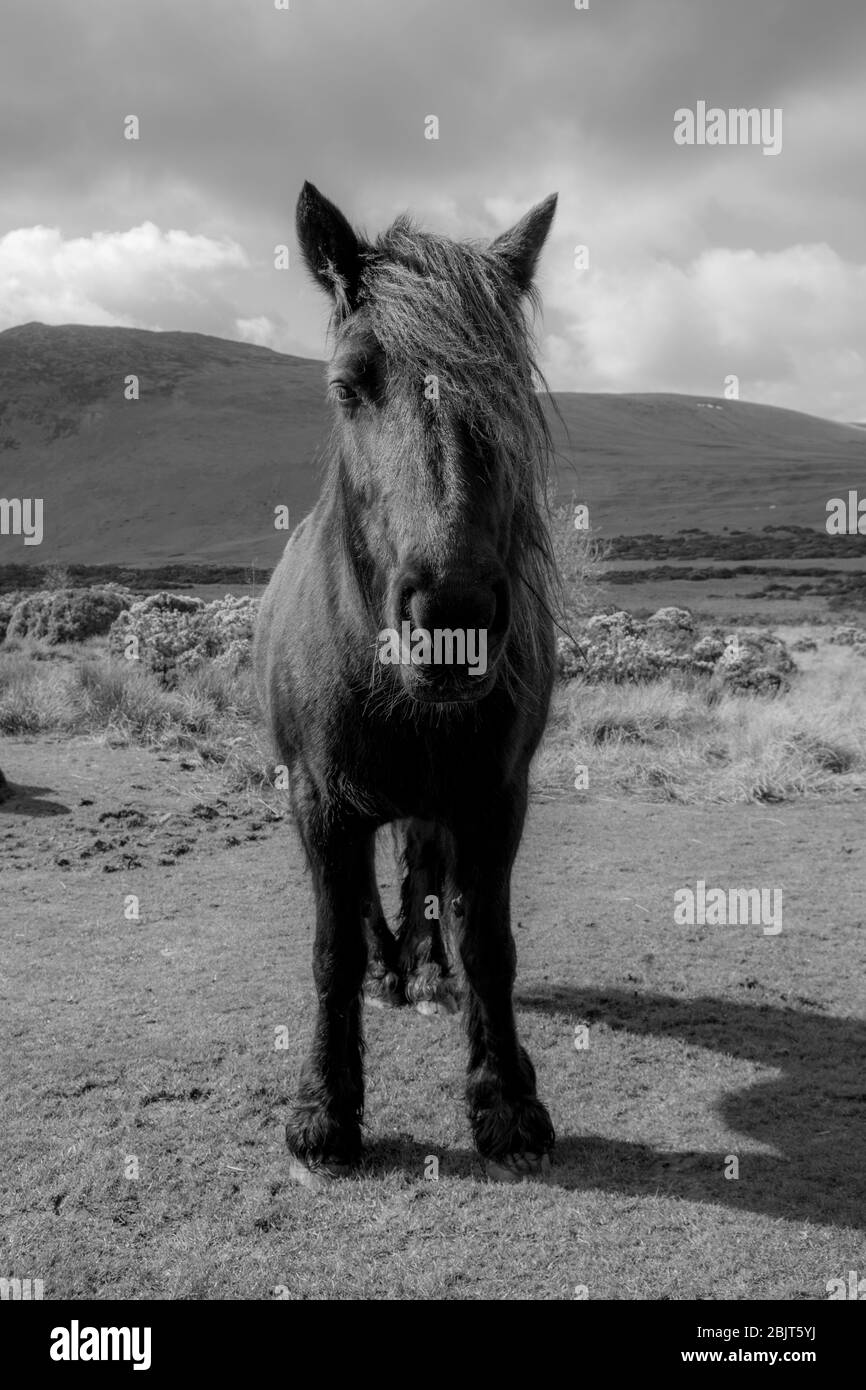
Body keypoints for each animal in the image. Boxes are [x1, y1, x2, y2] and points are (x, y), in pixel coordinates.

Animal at [254, 181, 560, 1186]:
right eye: (348, 385)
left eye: (505, 389)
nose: (450, 612)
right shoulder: (321, 801)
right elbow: (334, 950)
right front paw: (324, 1110)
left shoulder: (494, 799)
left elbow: (489, 942)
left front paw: (507, 1101)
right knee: (366, 907)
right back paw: (397, 971)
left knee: (424, 875)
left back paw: (425, 968)